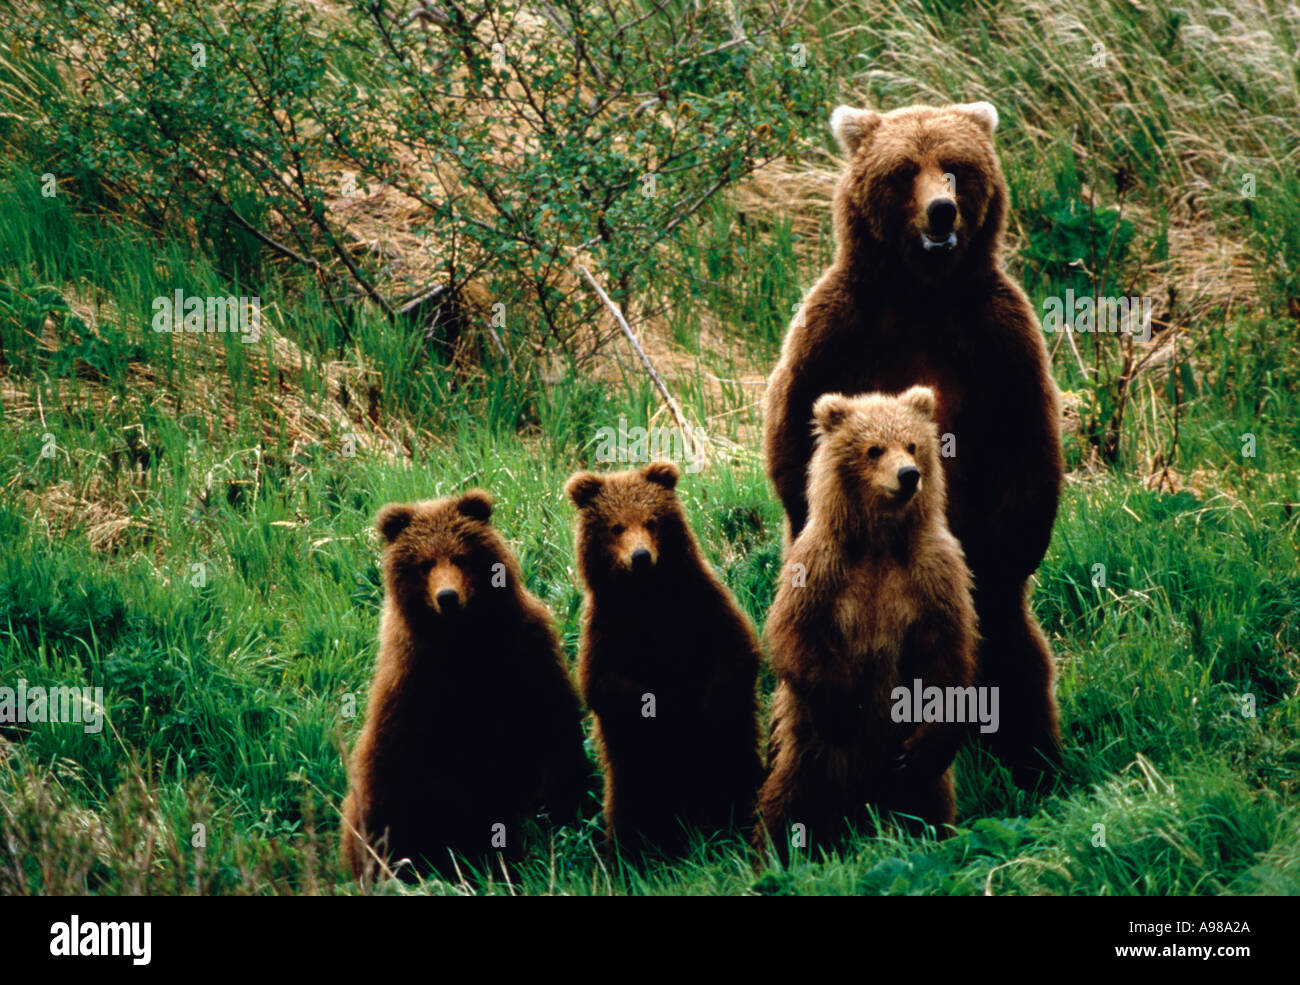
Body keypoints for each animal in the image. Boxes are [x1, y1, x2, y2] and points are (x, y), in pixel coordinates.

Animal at [341, 490, 589, 882]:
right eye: (424, 563)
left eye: (459, 555)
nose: (447, 596)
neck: (463, 641)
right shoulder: (415, 682)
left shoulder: (524, 651)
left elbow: (552, 725)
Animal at [565, 461, 764, 860]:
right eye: (616, 526)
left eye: (652, 520)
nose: (641, 557)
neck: (648, 598)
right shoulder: (607, 630)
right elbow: (604, 685)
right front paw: (663, 710)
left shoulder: (700, 603)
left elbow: (735, 653)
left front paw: (704, 707)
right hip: (631, 778)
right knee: (630, 813)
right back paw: (629, 857)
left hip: (735, 758)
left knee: (737, 779)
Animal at [754, 387, 978, 861]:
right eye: (873, 449)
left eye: (912, 444)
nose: (909, 475)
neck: (879, 542)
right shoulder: (821, 568)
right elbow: (794, 634)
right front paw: (846, 707)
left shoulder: (933, 573)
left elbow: (948, 652)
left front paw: (923, 747)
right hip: (805, 755)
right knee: (784, 803)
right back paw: (775, 855)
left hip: (912, 783)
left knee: (927, 801)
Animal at [762, 101, 1064, 787]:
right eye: (905, 170)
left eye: (955, 166)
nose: (942, 211)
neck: (922, 293)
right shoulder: (835, 327)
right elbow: (793, 436)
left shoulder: (1001, 335)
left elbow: (1030, 448)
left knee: (1019, 662)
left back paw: (1038, 765)